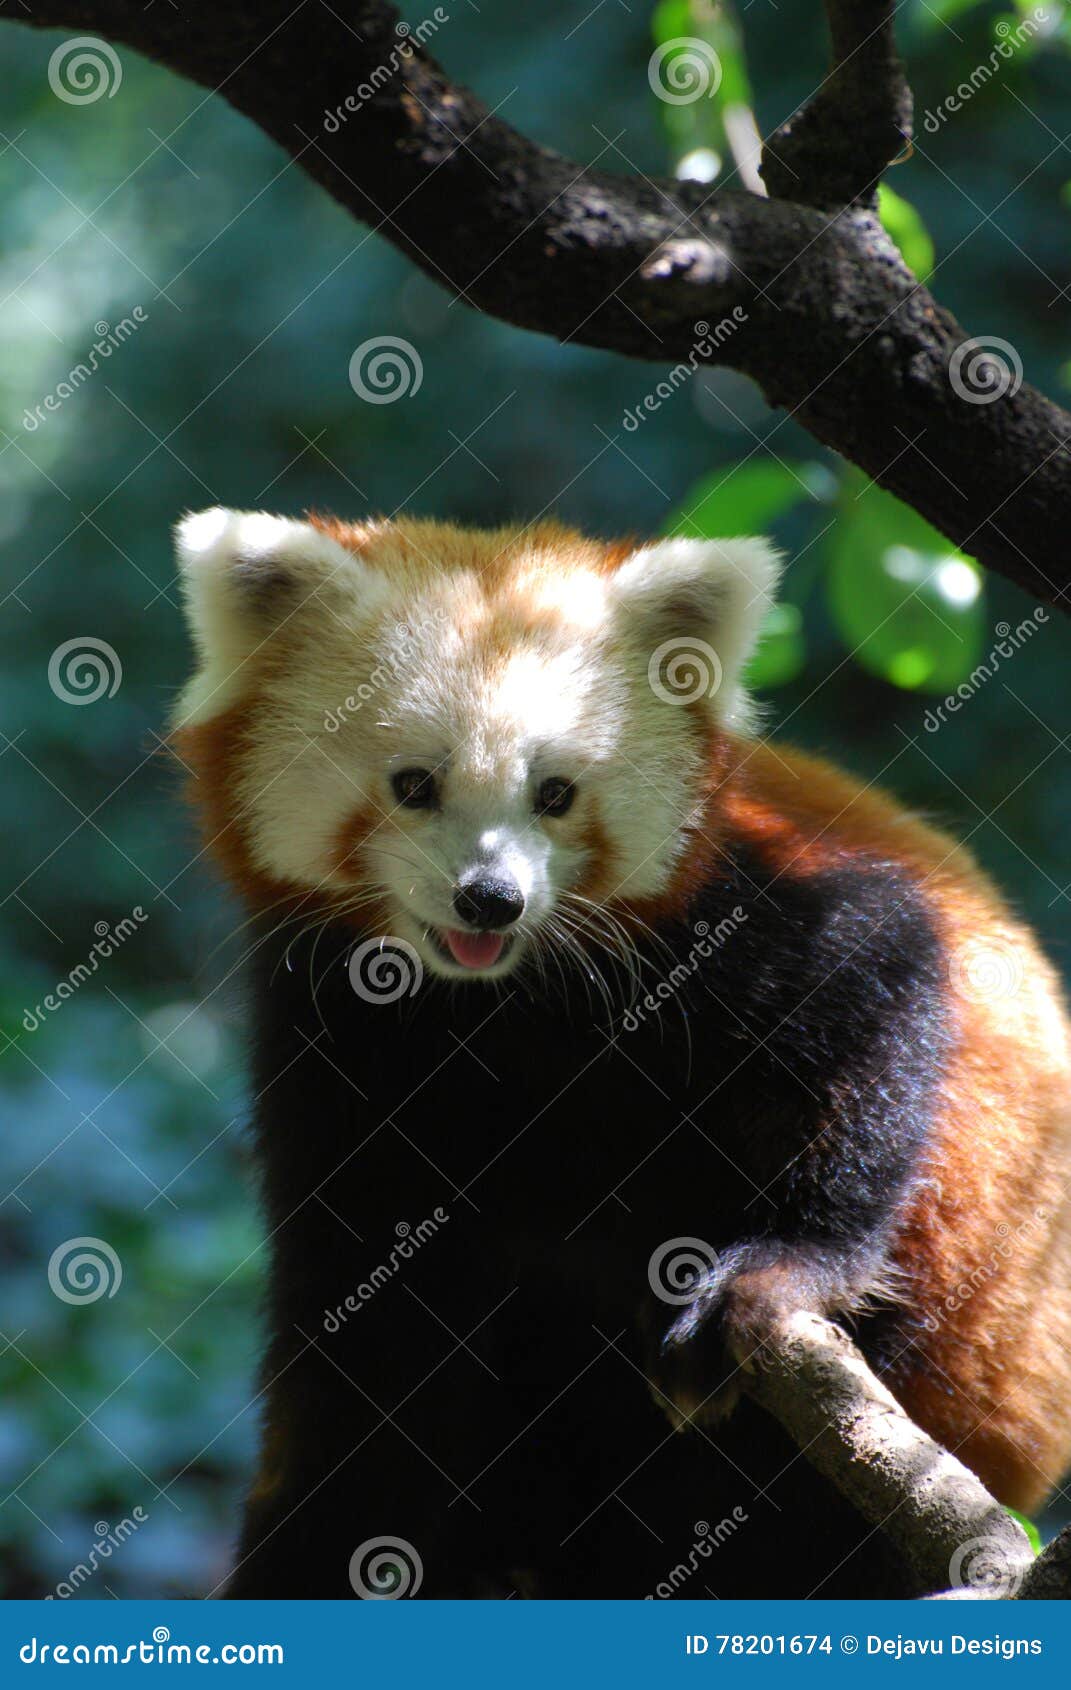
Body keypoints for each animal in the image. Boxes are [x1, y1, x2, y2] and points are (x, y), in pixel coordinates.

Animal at [171, 506, 1071, 1599]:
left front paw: (787, 1264)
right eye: (415, 785)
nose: (490, 900)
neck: (491, 1007)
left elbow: (884, 978)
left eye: (555, 794)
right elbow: (371, 1349)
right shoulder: (335, 1039)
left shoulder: (735, 912)